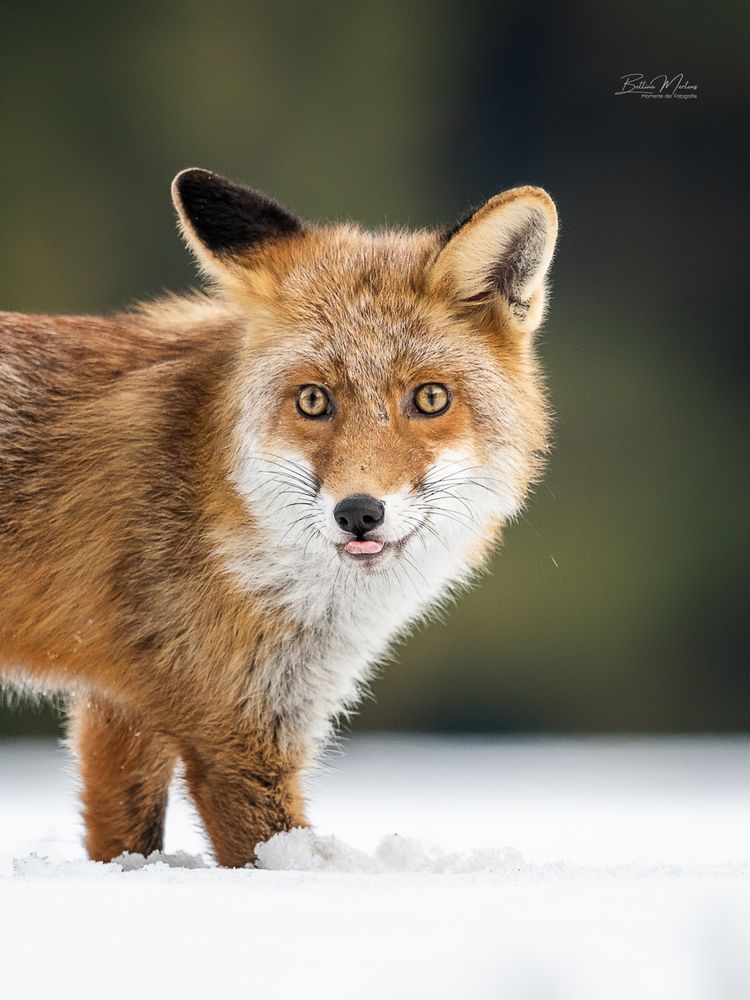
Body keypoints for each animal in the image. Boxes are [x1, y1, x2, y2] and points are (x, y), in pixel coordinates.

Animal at [0, 169, 557, 867]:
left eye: (430, 398)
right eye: (313, 400)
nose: (358, 512)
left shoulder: (124, 709)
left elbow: (125, 841)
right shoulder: (237, 734)